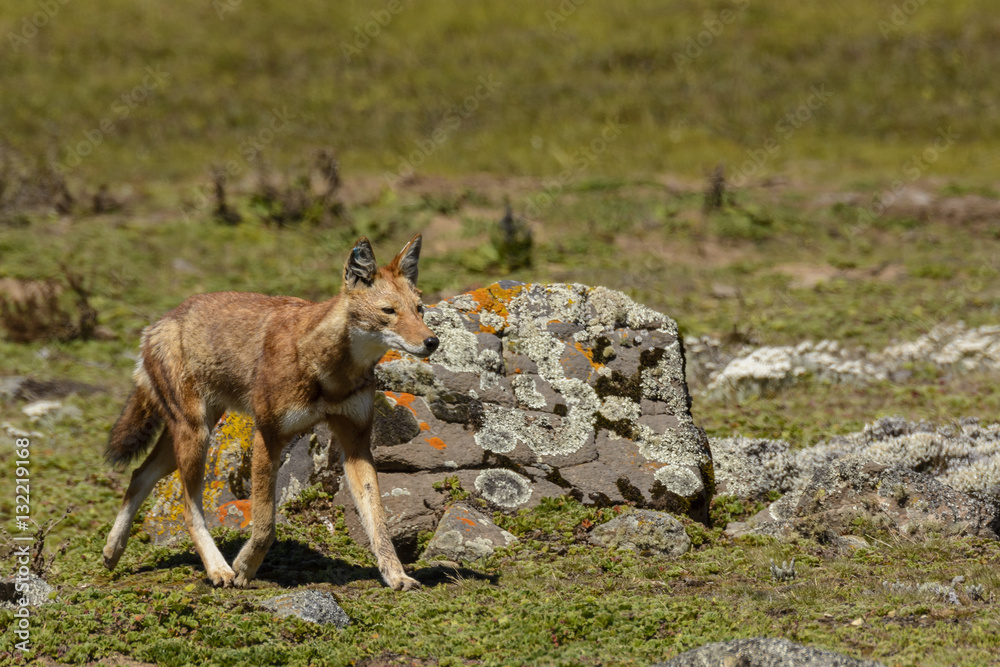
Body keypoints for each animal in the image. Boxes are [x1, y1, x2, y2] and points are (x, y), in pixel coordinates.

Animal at [101, 234, 436, 590]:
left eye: (419, 310)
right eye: (389, 311)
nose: (433, 341)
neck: (329, 372)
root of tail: (158, 323)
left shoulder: (356, 443)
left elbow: (378, 520)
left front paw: (396, 575)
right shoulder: (267, 434)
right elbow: (264, 524)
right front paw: (244, 569)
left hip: (188, 438)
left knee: (139, 475)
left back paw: (112, 551)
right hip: (196, 437)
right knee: (188, 508)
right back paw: (218, 569)